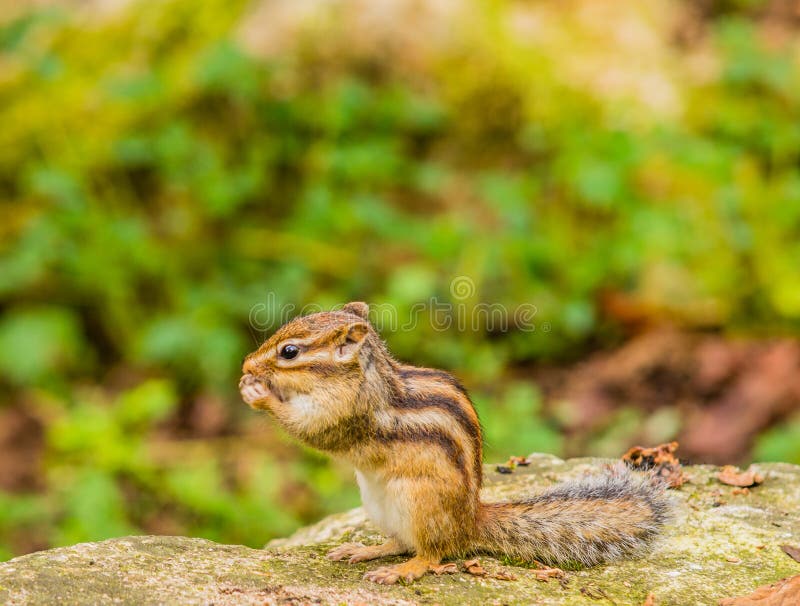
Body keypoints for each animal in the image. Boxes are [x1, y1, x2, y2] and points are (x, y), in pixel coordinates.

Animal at [239, 302, 671, 585]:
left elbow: (313, 431)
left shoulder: (347, 413)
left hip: (418, 502)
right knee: (399, 542)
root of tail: (470, 521)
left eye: (289, 351)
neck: (363, 377)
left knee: (431, 553)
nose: (246, 365)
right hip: (379, 505)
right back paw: (364, 550)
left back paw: (402, 571)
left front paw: (258, 394)